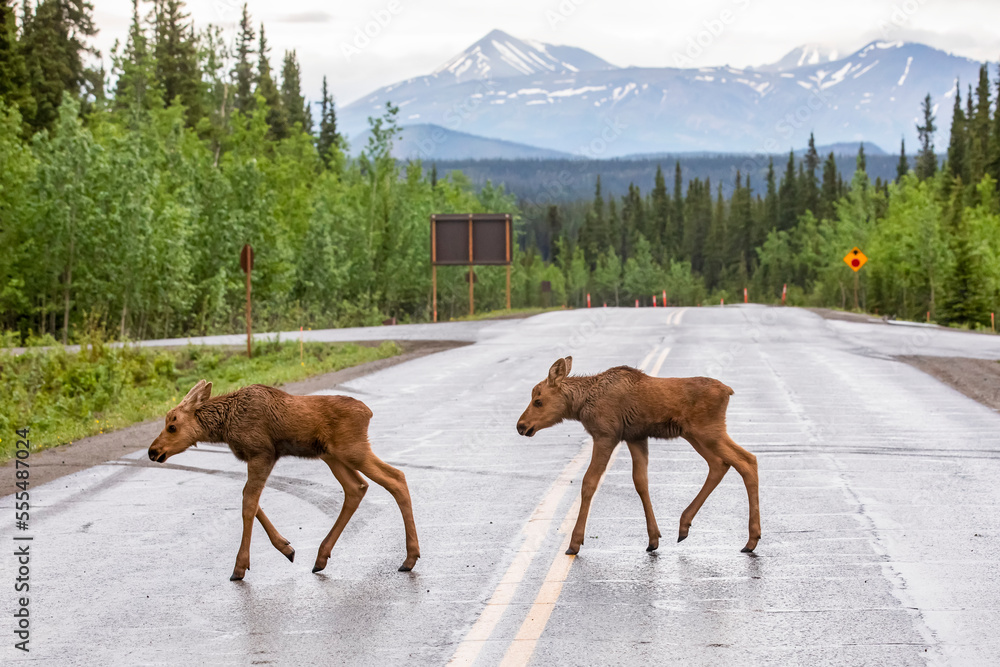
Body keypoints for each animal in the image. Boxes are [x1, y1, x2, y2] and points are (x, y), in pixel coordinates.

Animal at [147, 380, 420, 580]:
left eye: (172, 426)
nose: (152, 451)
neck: (225, 426)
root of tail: (368, 413)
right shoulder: (258, 459)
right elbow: (251, 500)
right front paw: (287, 548)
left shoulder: (262, 454)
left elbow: (248, 502)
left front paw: (240, 567)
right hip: (332, 455)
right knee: (357, 488)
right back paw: (321, 558)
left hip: (353, 450)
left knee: (396, 478)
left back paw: (409, 558)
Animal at [516, 357, 760, 555]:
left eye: (538, 401)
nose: (521, 426)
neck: (581, 405)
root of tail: (728, 391)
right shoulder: (636, 437)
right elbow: (641, 481)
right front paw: (653, 538)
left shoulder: (606, 436)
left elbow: (589, 483)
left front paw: (574, 543)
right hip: (694, 435)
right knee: (719, 464)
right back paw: (684, 525)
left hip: (709, 431)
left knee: (747, 461)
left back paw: (751, 540)